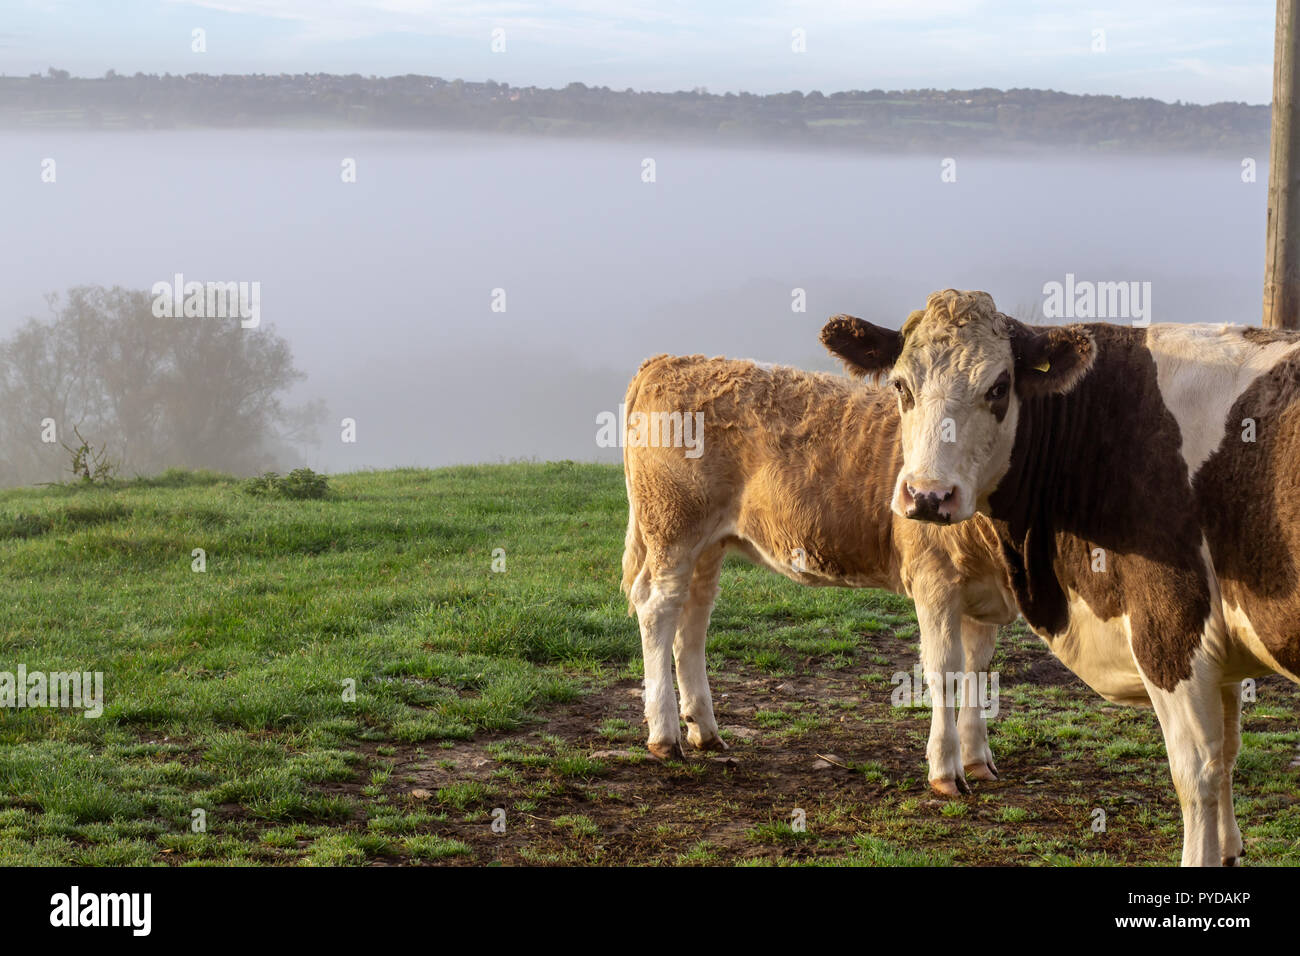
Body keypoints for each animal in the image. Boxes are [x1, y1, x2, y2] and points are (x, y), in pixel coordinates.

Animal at [620, 354, 1018, 794]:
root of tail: (671, 360)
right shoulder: (935, 579)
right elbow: (945, 671)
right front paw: (947, 770)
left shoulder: (982, 590)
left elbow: (978, 670)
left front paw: (978, 759)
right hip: (672, 527)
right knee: (658, 609)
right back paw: (665, 735)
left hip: (707, 544)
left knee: (692, 619)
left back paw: (703, 729)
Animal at [820, 287, 1300, 866]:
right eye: (900, 385)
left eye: (999, 387)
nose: (928, 496)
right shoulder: (1220, 651)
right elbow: (1227, 754)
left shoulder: (1171, 627)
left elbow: (1197, 771)